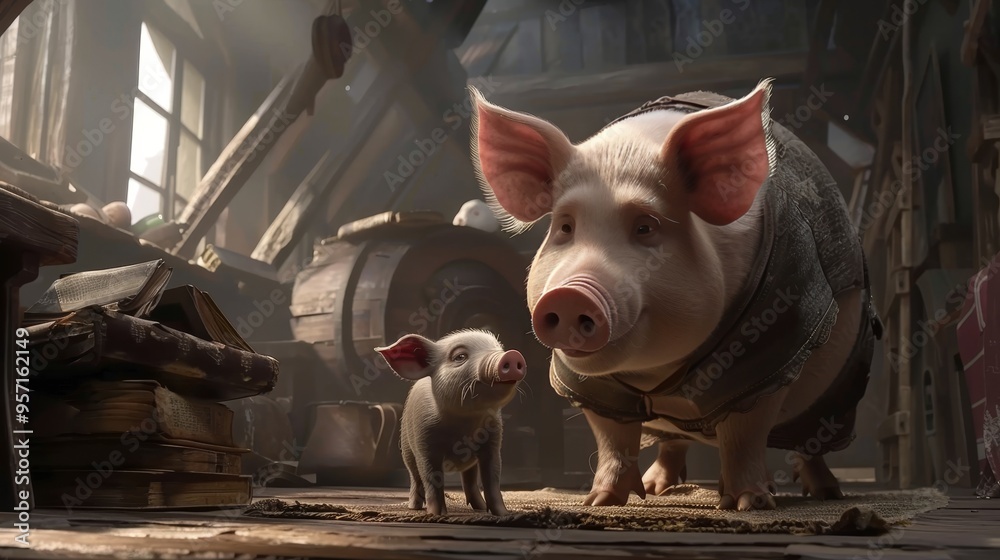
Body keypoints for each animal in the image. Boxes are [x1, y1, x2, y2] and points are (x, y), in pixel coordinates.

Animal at [375, 329, 526, 516]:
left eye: (498, 348)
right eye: (460, 356)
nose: (511, 355)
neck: (464, 424)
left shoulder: (493, 440)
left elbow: (492, 479)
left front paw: (504, 514)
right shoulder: (424, 442)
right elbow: (431, 478)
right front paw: (436, 514)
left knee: (469, 480)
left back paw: (480, 508)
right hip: (406, 449)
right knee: (415, 477)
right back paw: (414, 507)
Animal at [467, 78, 882, 511]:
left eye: (646, 227)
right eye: (565, 227)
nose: (569, 295)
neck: (657, 379)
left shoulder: (770, 354)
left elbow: (744, 433)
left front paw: (749, 504)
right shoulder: (588, 384)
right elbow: (613, 439)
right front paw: (599, 502)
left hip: (837, 395)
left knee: (809, 445)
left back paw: (824, 492)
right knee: (673, 442)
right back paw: (657, 489)